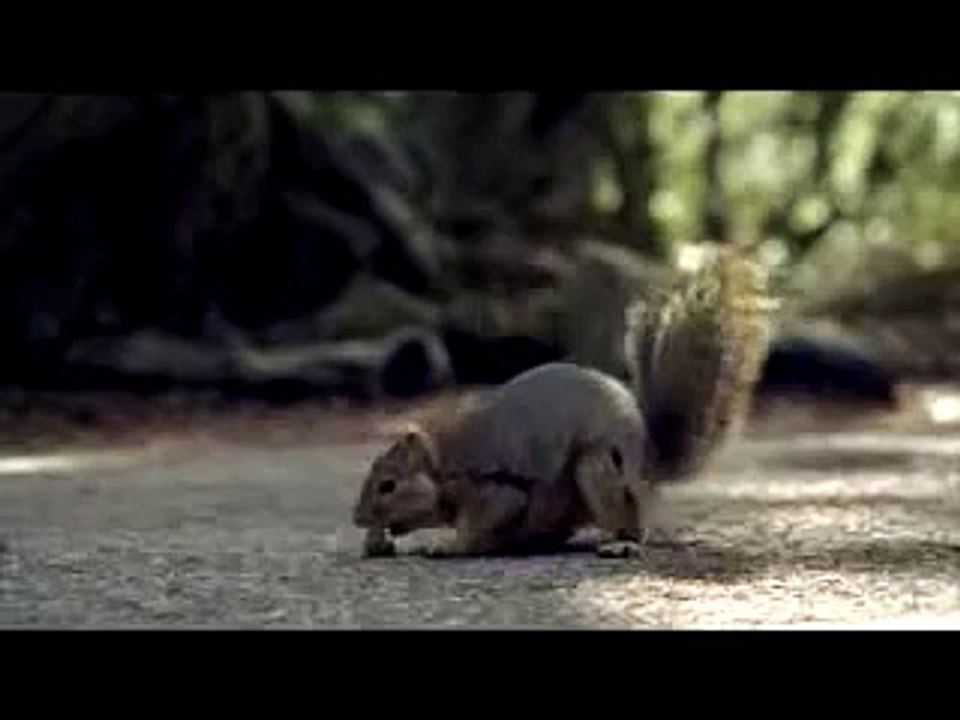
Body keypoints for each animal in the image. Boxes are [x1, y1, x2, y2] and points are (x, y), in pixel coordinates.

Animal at [353, 245, 776, 559]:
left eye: (388, 486)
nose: (357, 518)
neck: (442, 469)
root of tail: (649, 463)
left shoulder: (495, 492)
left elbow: (477, 529)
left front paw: (446, 546)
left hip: (599, 470)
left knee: (632, 525)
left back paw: (620, 544)